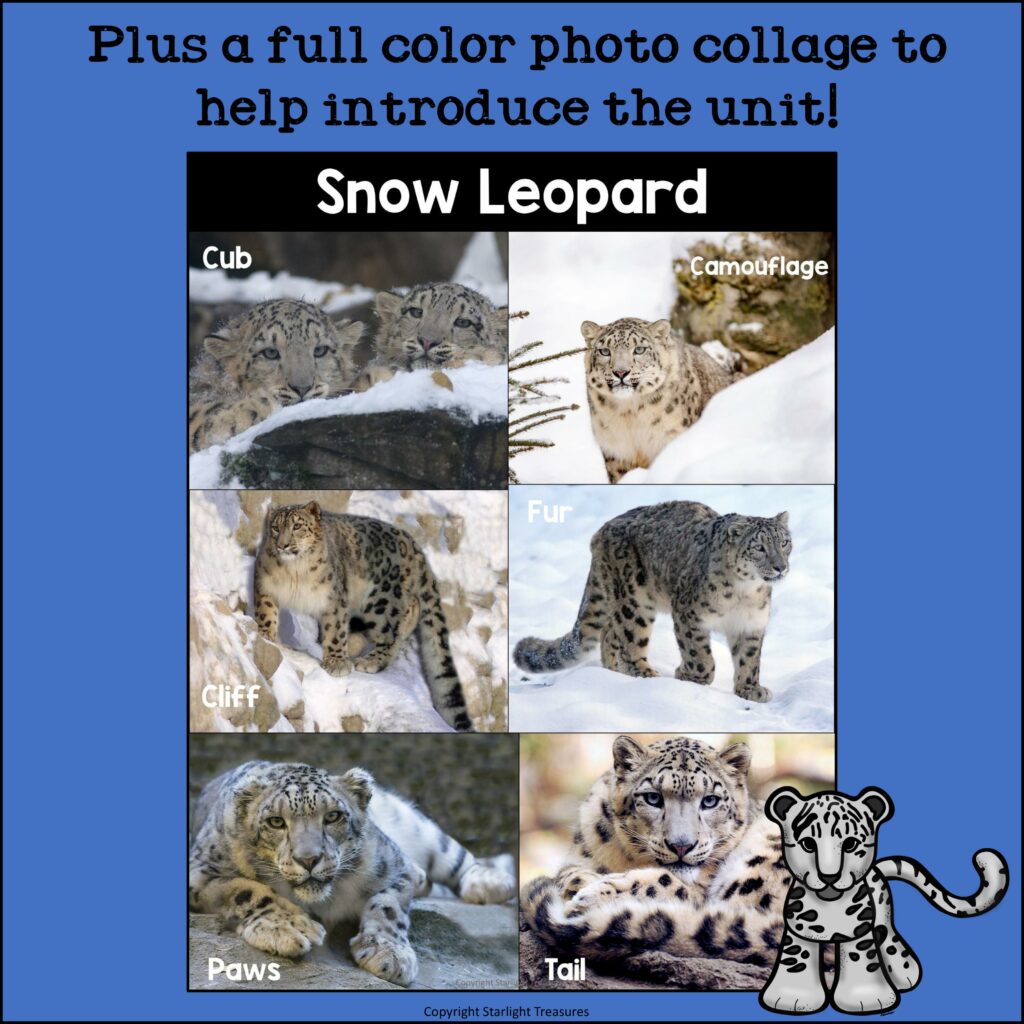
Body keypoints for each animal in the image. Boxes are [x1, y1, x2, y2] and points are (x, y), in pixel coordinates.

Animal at [189, 760, 516, 986]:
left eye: (333, 816)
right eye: (276, 821)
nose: (309, 859)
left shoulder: (394, 865)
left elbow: (388, 906)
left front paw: (388, 955)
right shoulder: (200, 872)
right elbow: (245, 889)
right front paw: (289, 928)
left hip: (414, 824)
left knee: (454, 855)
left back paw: (489, 882)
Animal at [254, 501, 473, 732]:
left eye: (297, 526)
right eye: (275, 528)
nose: (283, 545)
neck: (294, 572)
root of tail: (415, 547)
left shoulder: (334, 598)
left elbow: (335, 631)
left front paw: (336, 662)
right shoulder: (265, 585)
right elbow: (266, 612)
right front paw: (266, 634)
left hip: (381, 602)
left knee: (394, 629)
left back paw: (371, 661)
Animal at [513, 501, 792, 703]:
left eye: (784, 542)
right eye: (759, 547)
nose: (780, 567)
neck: (745, 593)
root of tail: (601, 532)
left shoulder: (751, 625)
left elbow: (749, 659)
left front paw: (750, 689)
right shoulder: (689, 615)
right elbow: (699, 655)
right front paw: (689, 676)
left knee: (609, 634)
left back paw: (614, 671)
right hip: (633, 602)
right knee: (628, 638)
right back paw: (644, 673)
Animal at [520, 735, 795, 984]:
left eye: (710, 800)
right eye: (653, 798)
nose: (681, 845)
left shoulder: (701, 891)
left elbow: (665, 883)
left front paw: (592, 896)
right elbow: (570, 872)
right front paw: (581, 884)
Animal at [759, 785, 1009, 1015]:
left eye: (850, 844)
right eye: (808, 844)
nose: (829, 876)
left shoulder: (859, 930)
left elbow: (862, 958)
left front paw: (866, 999)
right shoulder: (798, 927)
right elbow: (796, 958)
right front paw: (791, 998)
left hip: (881, 917)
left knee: (888, 939)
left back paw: (905, 976)